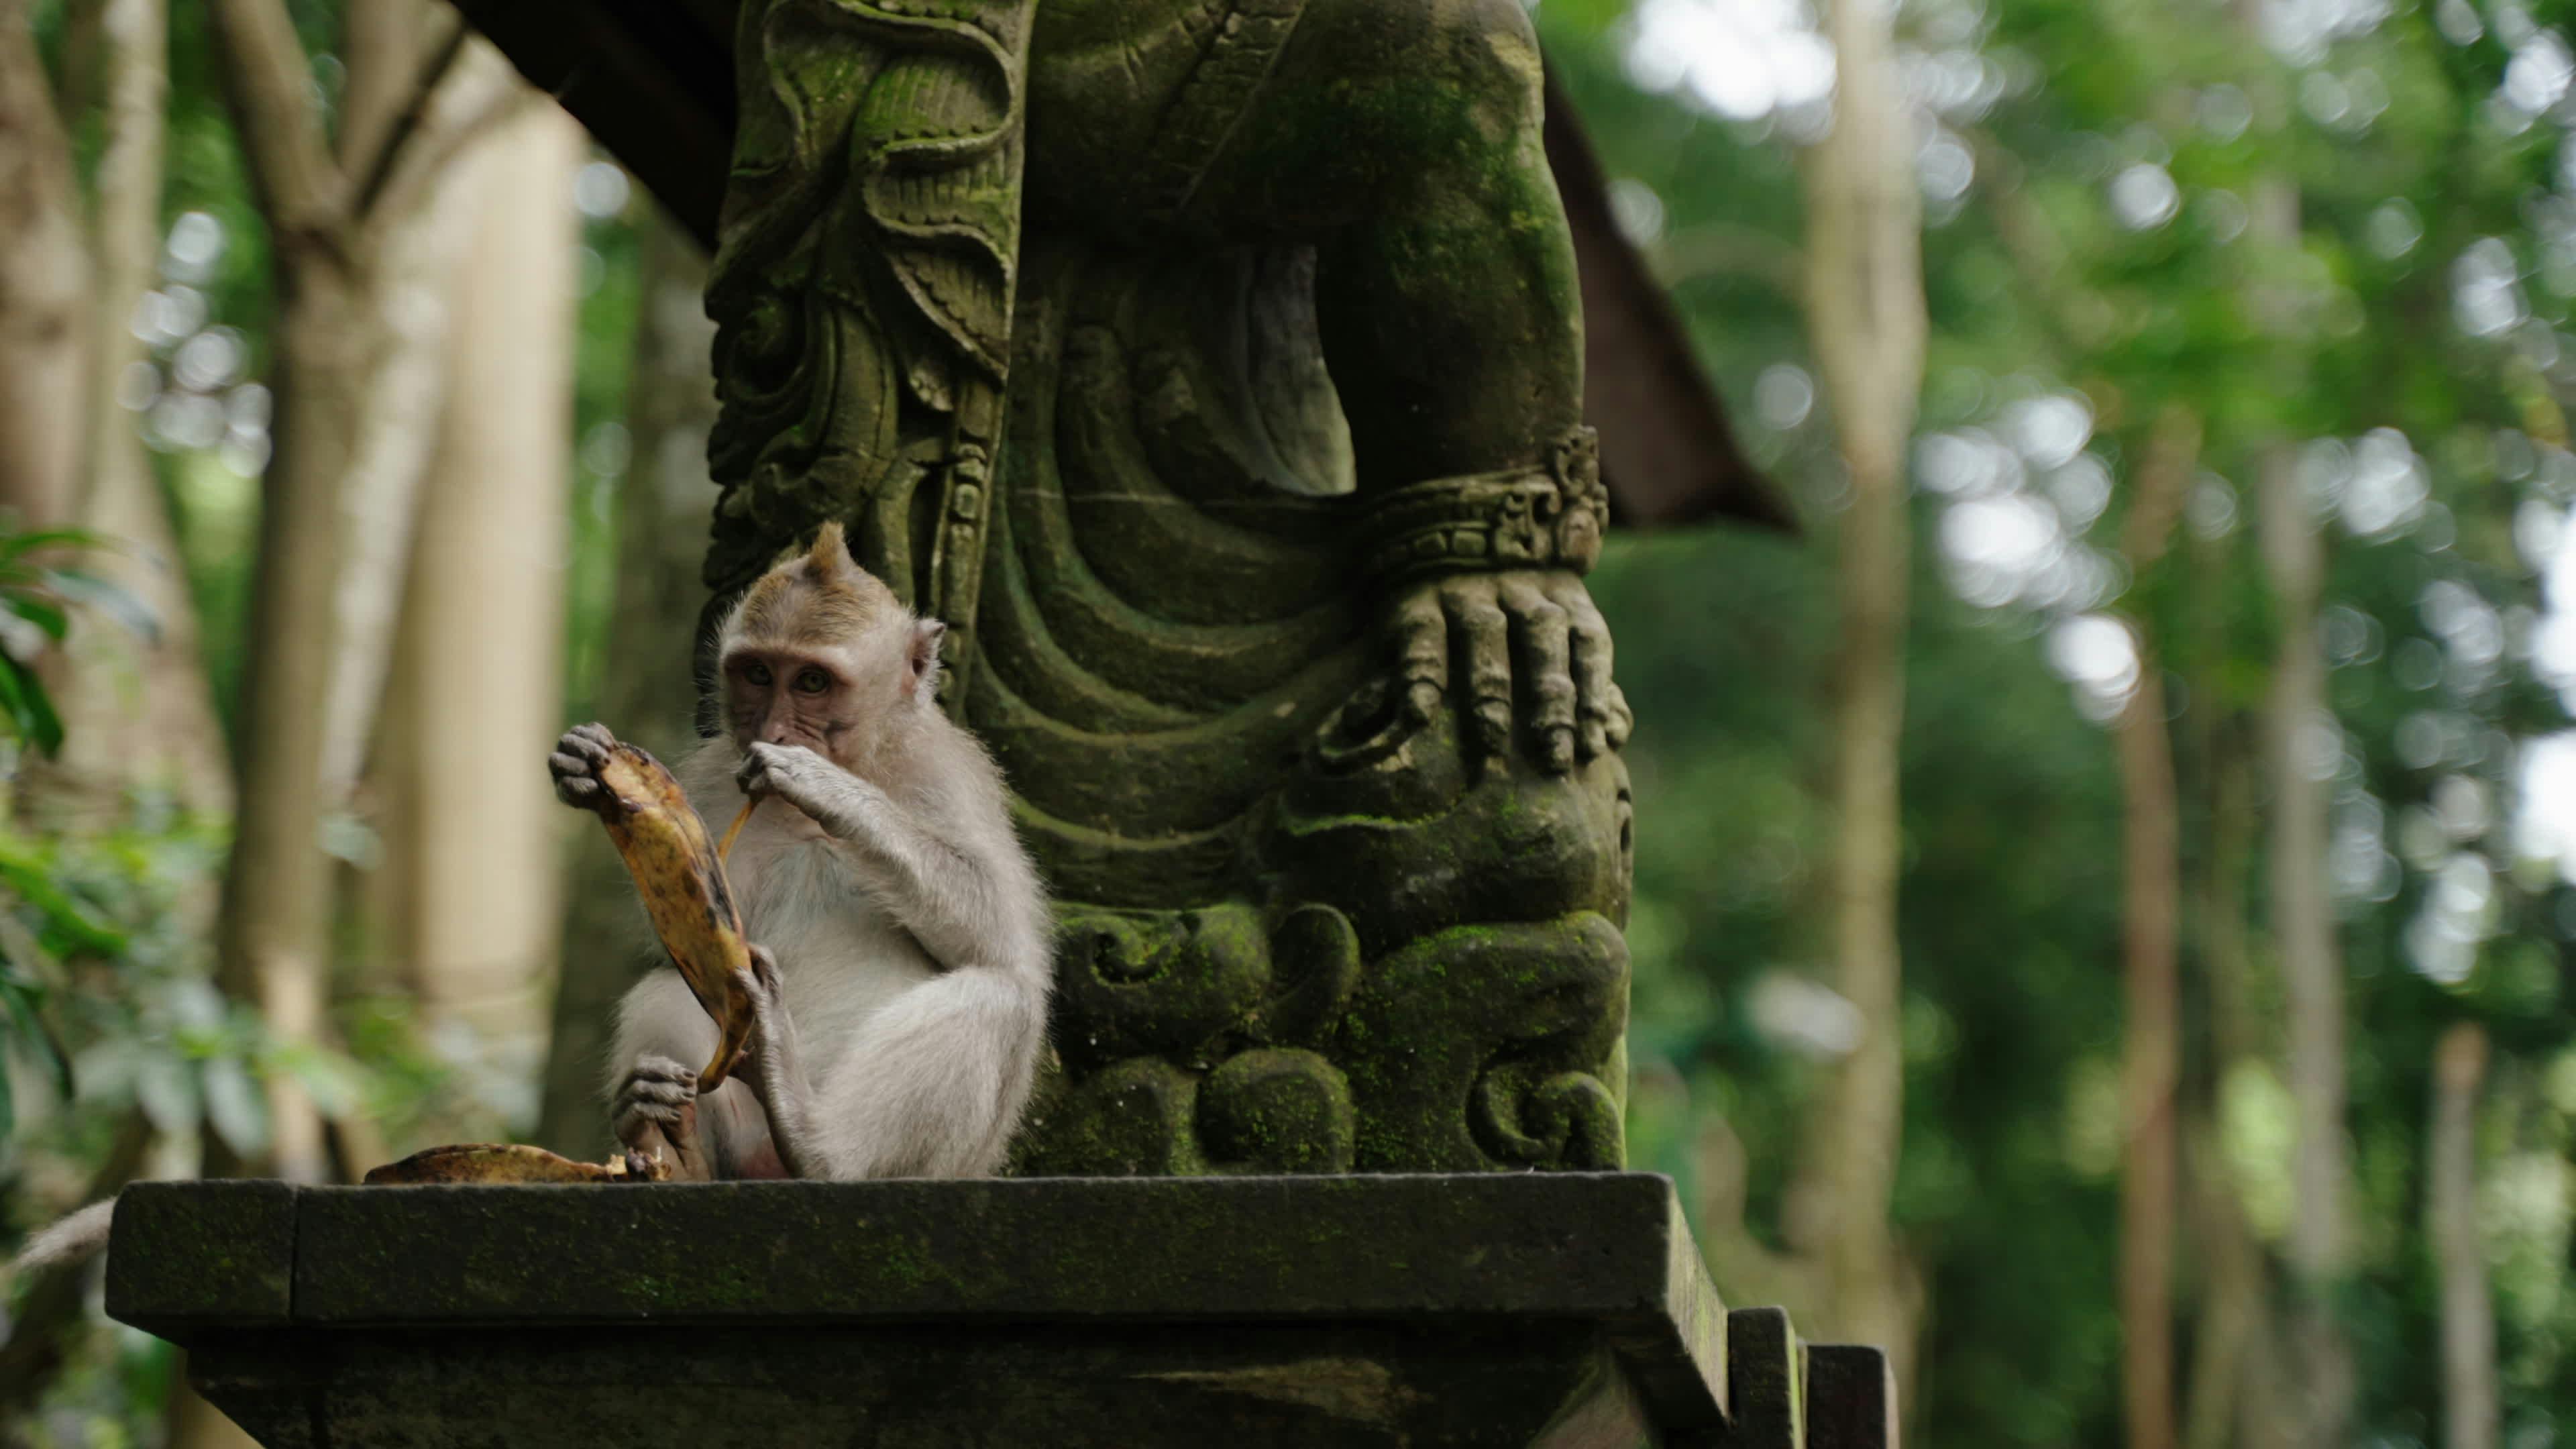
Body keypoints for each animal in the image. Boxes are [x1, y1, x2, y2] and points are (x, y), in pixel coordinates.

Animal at [553, 522, 1052, 1182]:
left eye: (812, 682)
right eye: (759, 674)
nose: (775, 731)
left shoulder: (946, 771)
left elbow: (1007, 940)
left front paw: (827, 789)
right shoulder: (714, 780)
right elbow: (682, 935)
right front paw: (583, 769)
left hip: (950, 1164)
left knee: (1000, 998)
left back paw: (813, 1139)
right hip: (741, 1128)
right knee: (663, 987)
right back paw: (677, 1146)